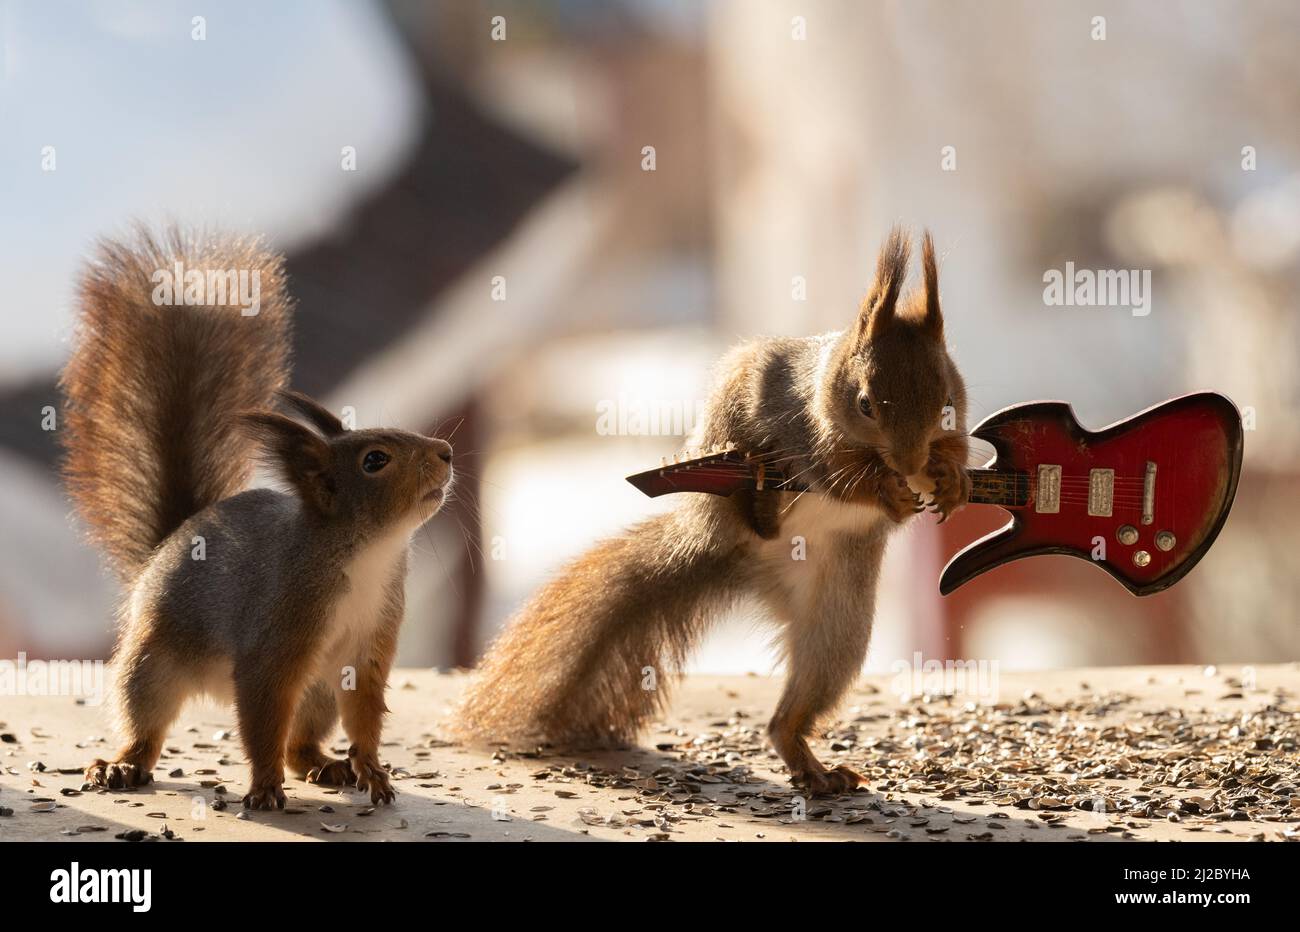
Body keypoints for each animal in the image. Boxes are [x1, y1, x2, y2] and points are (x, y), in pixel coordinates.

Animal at [61, 229, 453, 809]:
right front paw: (264, 788)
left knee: (298, 743)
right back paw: (123, 765)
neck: (369, 554)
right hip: (151, 666)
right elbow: (263, 717)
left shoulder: (369, 647)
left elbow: (364, 714)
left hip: (317, 694)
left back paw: (326, 765)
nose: (446, 452)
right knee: (146, 725)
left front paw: (374, 770)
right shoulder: (273, 639)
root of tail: (167, 543)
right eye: (374, 460)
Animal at [457, 228, 969, 795]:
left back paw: (809, 759)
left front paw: (952, 481)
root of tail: (748, 561)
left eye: (947, 401)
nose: (910, 463)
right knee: (751, 499)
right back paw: (763, 502)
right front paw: (888, 490)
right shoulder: (809, 434)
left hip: (839, 622)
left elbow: (957, 453)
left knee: (807, 687)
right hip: (730, 431)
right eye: (864, 404)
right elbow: (842, 476)